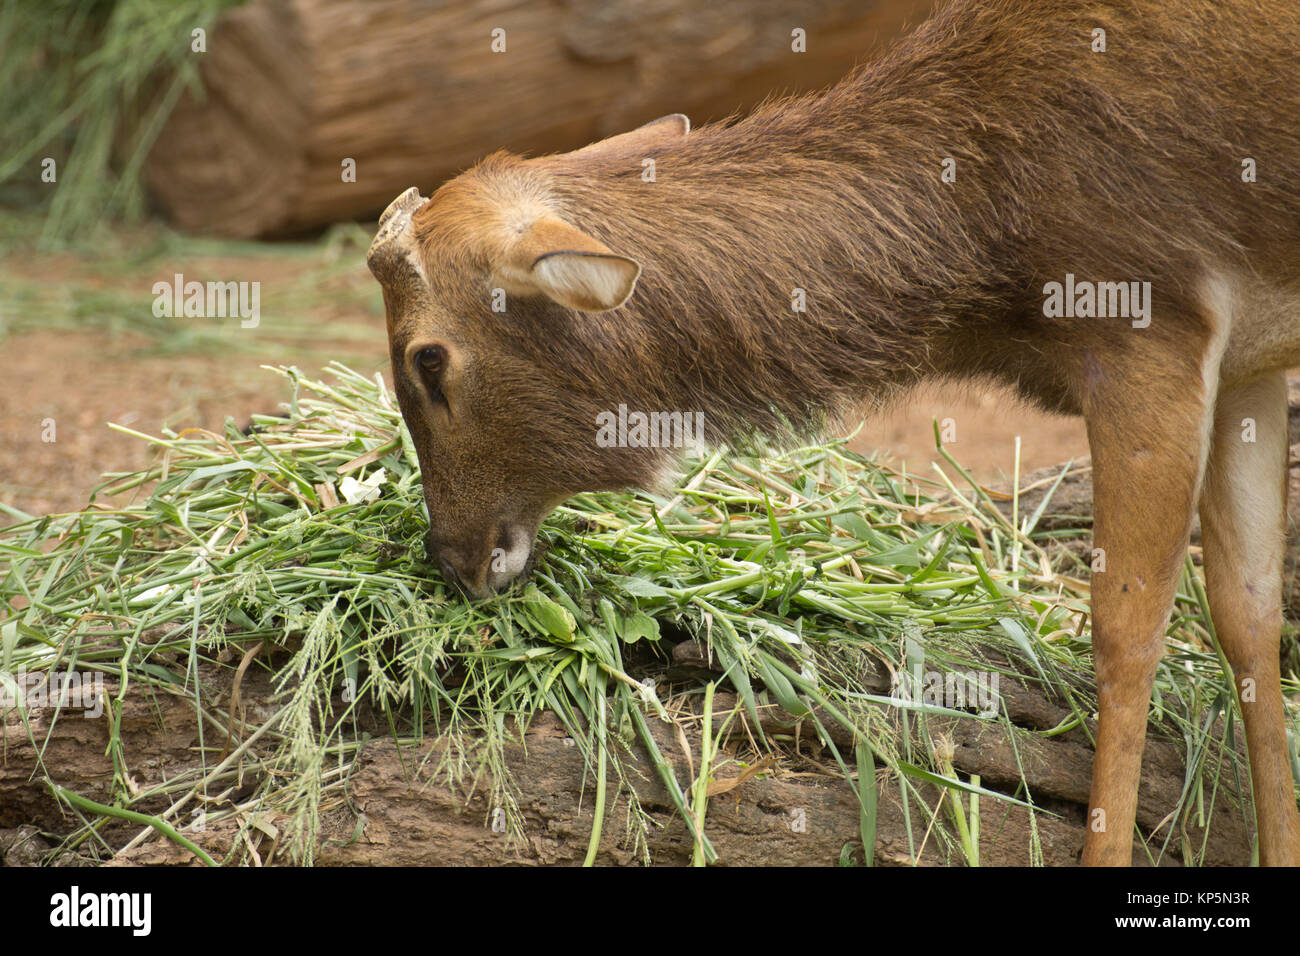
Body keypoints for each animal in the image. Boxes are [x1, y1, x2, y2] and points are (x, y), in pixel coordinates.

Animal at [366, 0, 1300, 865]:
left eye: (427, 359)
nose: (454, 558)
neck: (990, 241)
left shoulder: (1148, 327)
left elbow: (1126, 632)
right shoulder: (1249, 366)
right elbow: (1249, 617)